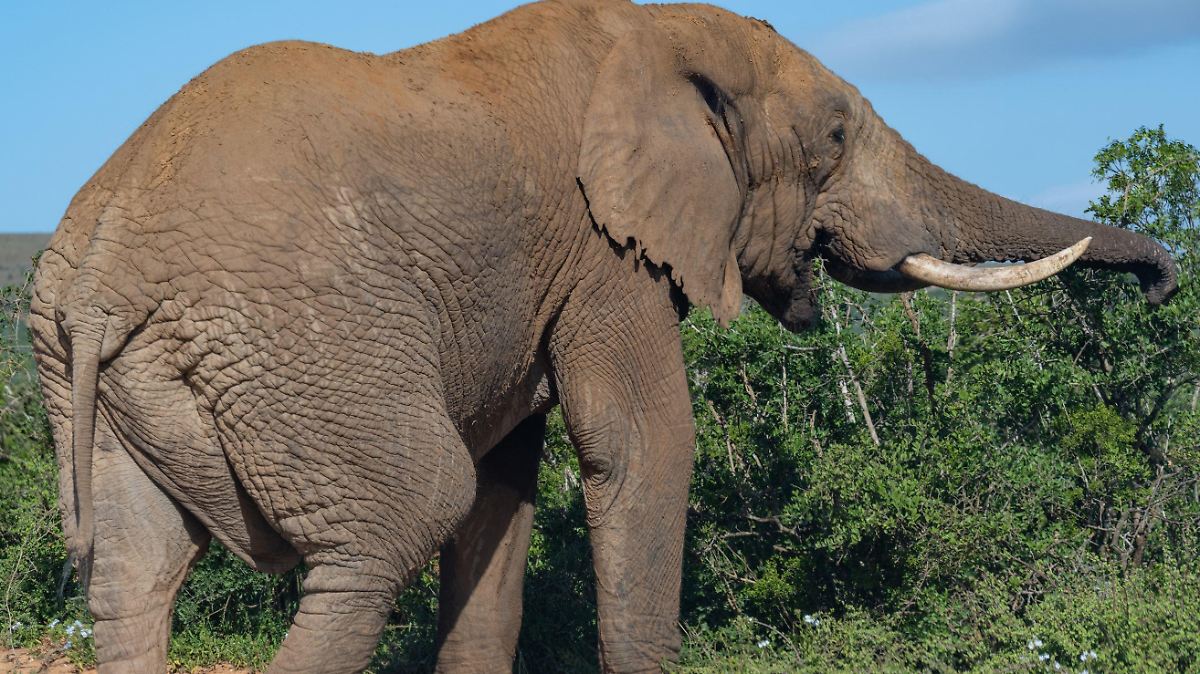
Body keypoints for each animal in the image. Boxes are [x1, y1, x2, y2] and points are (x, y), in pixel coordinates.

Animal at [30, 0, 1176, 672]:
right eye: (835, 138)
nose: (1166, 282)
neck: (667, 28)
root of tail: (98, 270)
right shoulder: (603, 251)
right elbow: (639, 444)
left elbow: (503, 492)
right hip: (299, 344)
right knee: (393, 520)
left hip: (116, 379)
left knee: (134, 577)